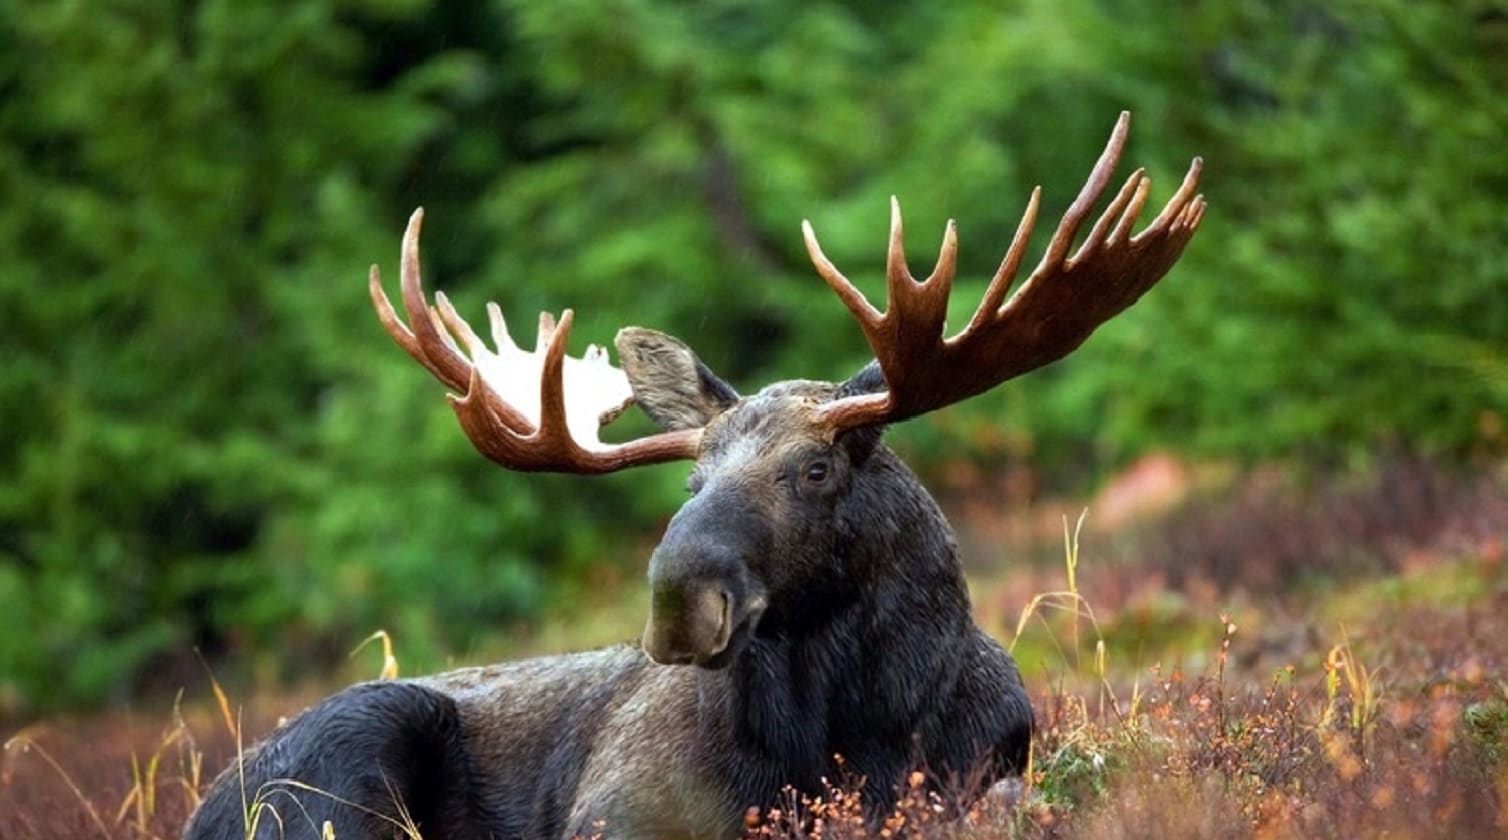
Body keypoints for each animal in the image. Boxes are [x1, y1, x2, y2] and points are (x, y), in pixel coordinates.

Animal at [184, 112, 1204, 840]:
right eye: (691, 481)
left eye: (817, 467)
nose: (679, 600)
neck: (853, 733)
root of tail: (199, 812)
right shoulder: (617, 816)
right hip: (344, 760)